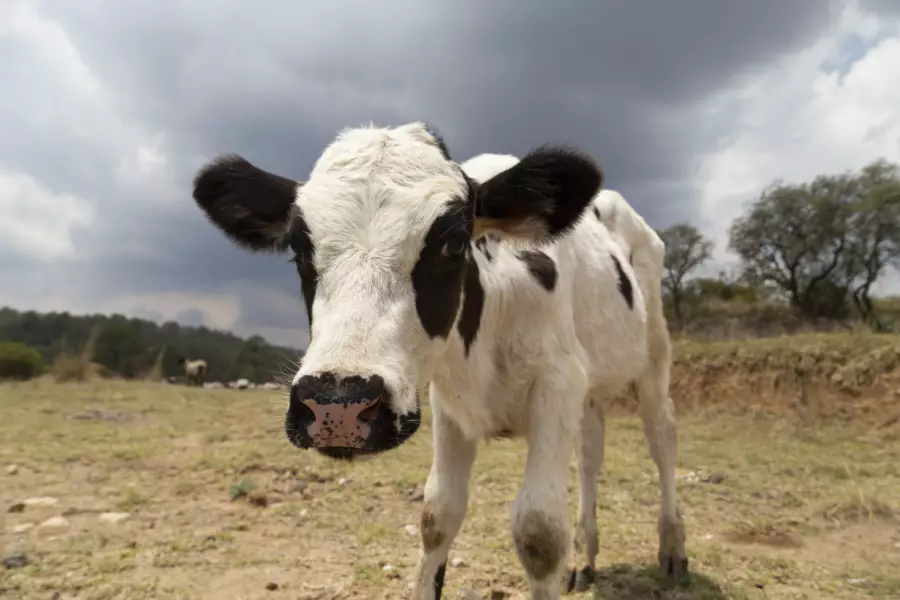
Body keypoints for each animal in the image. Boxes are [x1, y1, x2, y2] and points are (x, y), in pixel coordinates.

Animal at [188, 123, 684, 600]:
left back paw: (673, 549)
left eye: (453, 244)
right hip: (591, 392)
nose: (338, 404)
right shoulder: (449, 403)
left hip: (654, 359)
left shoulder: (558, 383)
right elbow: (438, 515)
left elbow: (539, 533)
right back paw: (585, 559)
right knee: (590, 454)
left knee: (662, 440)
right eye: (298, 249)